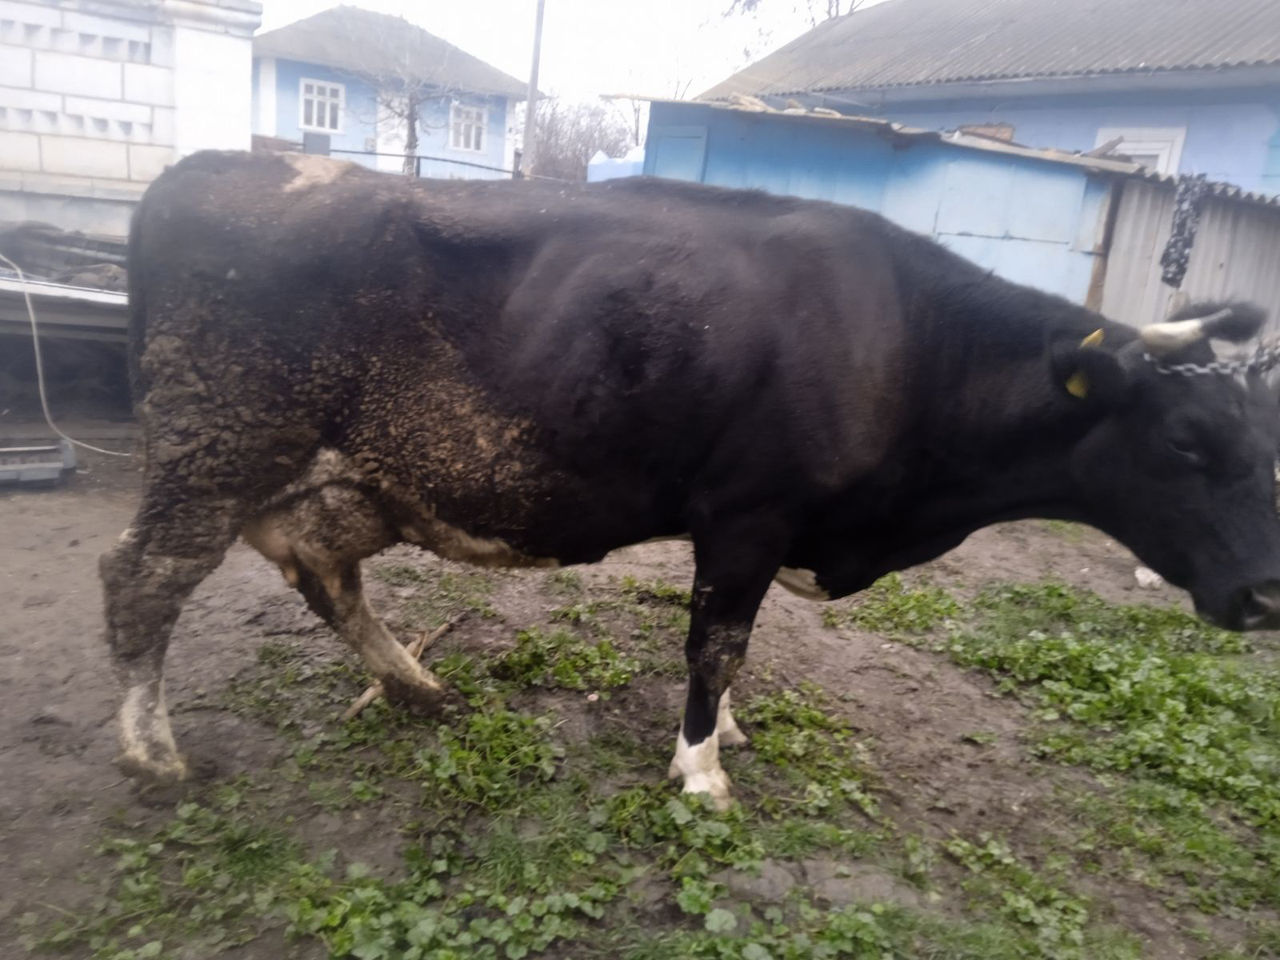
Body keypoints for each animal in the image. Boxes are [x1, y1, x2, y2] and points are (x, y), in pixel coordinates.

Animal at [103, 150, 1280, 810]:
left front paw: (725, 734)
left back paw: (414, 685)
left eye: (1265, 441)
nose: (1268, 594)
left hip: (347, 477)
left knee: (319, 567)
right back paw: (153, 757)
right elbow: (718, 643)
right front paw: (702, 768)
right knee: (142, 579)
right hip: (215, 445)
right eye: (1185, 440)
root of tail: (205, 168)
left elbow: (734, 647)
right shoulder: (747, 514)